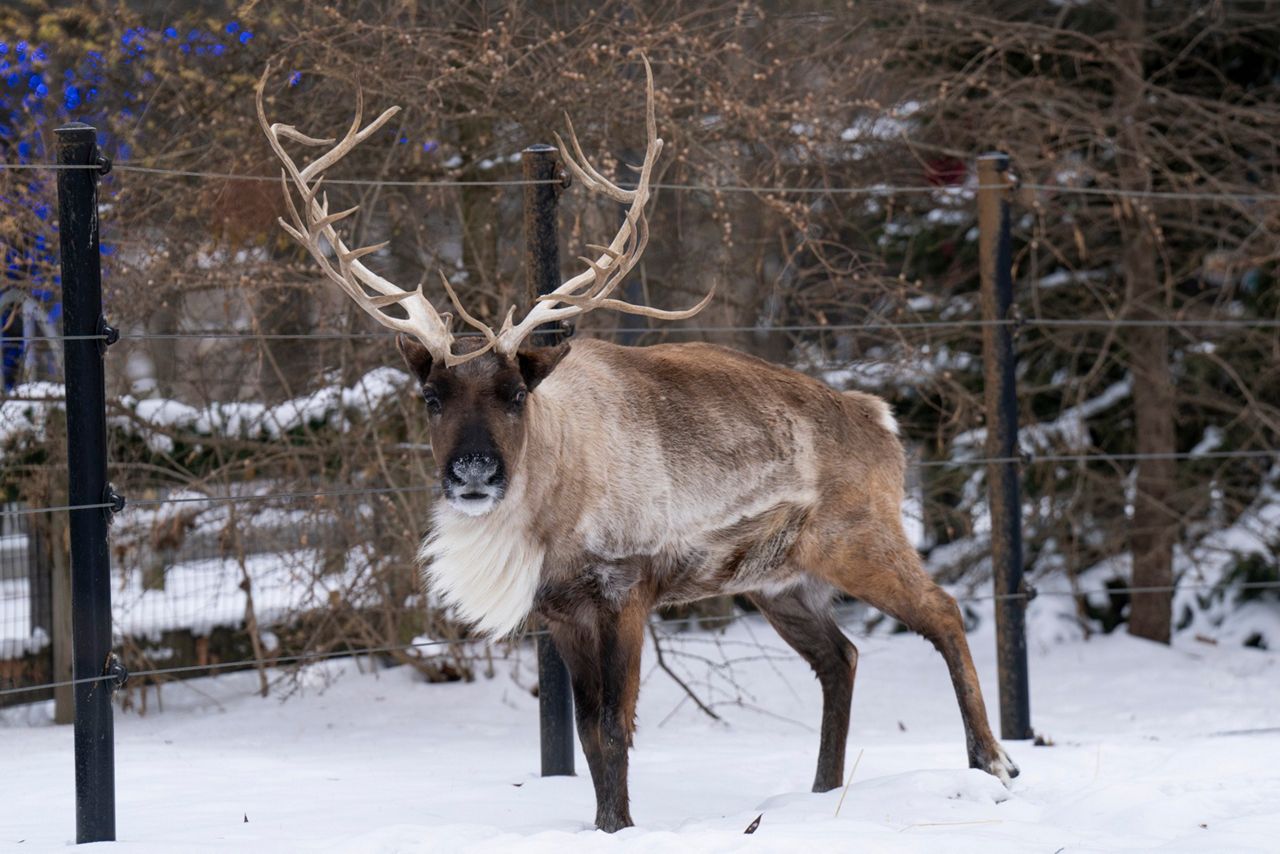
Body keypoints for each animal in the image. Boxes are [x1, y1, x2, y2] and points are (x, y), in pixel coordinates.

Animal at [257, 58, 1018, 833]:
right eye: (431, 397)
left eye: (515, 393)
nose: (473, 470)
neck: (552, 512)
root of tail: (881, 419)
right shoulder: (560, 610)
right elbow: (588, 734)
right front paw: (605, 824)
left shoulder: (626, 589)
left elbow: (613, 729)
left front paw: (619, 827)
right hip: (777, 580)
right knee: (842, 658)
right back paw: (821, 793)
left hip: (858, 538)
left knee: (942, 612)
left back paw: (993, 760)